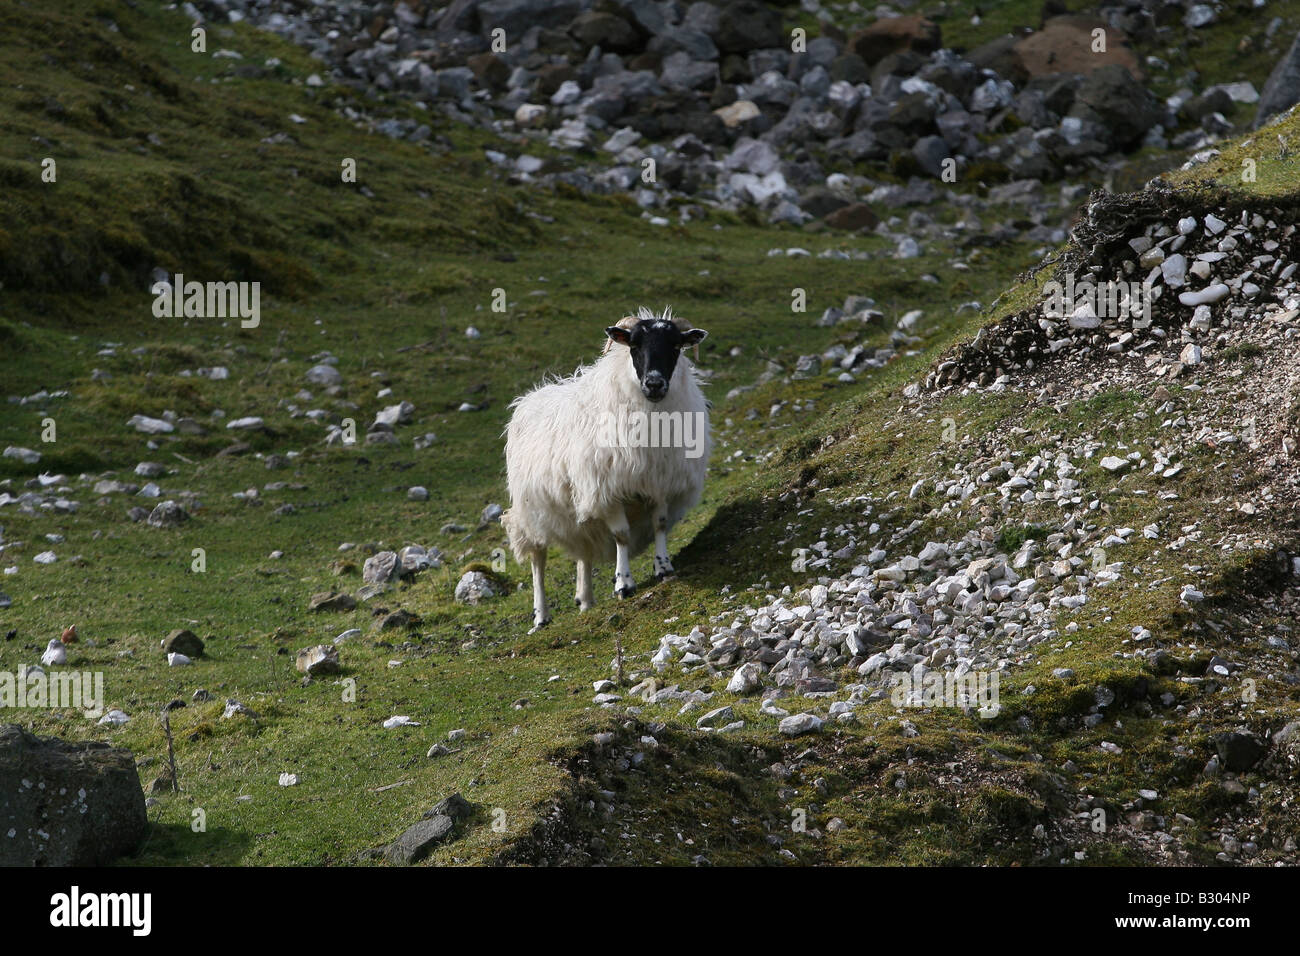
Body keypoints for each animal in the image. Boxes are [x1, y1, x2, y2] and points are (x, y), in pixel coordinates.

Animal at [502, 307, 711, 633]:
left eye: (676, 346)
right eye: (634, 345)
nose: (654, 384)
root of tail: (529, 398)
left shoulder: (660, 481)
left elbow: (660, 524)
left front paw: (663, 566)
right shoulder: (608, 490)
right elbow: (622, 535)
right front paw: (624, 584)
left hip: (578, 506)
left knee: (584, 549)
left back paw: (585, 599)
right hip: (531, 511)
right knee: (538, 559)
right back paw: (541, 615)